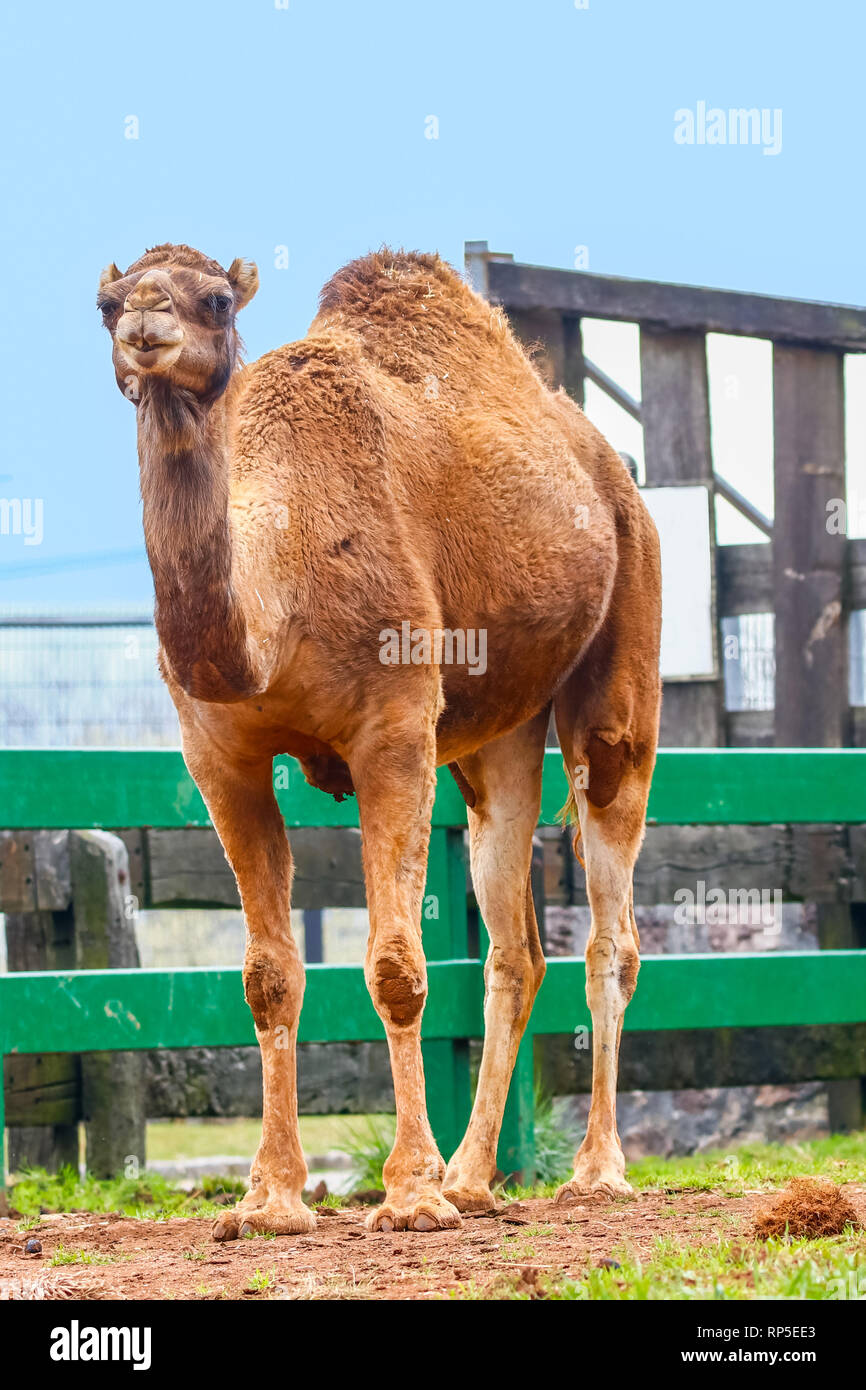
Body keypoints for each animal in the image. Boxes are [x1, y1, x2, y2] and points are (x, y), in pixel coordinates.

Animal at [97, 242, 662, 1238]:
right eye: (105, 304)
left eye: (215, 299)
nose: (144, 326)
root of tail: (611, 470)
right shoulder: (220, 757)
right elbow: (268, 973)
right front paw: (273, 1199)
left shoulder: (393, 730)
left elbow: (398, 966)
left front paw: (407, 1195)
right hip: (492, 741)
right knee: (515, 944)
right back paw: (474, 1178)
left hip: (623, 656)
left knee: (611, 931)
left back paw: (595, 1172)